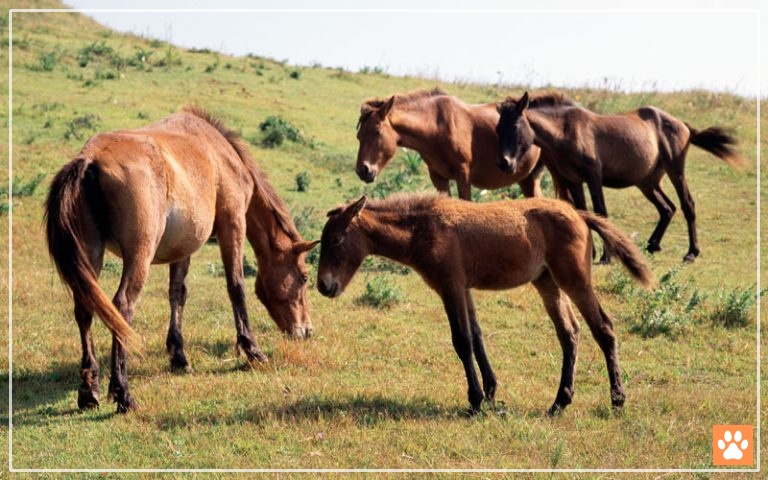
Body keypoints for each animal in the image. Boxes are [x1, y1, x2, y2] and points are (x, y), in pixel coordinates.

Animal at [45, 107, 318, 413]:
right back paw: (123, 393)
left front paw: (178, 355)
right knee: (121, 308)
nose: (306, 330)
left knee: (85, 310)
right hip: (139, 255)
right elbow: (236, 286)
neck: (219, 153)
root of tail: (90, 159)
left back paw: (88, 392)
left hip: (91, 254)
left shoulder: (183, 247)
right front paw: (252, 349)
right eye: (304, 277)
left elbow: (177, 294)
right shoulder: (233, 223)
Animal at [316, 193, 654, 415]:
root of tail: (579, 214)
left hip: (574, 279)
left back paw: (617, 399)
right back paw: (559, 402)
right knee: (569, 333)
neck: (424, 229)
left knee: (603, 328)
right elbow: (478, 337)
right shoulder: (463, 289)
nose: (324, 286)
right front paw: (491, 393)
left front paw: (475, 400)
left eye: (335, 240)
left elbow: (462, 341)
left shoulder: (450, 287)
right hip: (547, 282)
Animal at [355, 88, 553, 200]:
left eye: (377, 132)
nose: (362, 170)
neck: (437, 126)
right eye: (359, 136)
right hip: (528, 179)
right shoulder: (439, 179)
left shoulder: (463, 174)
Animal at [496, 91, 745, 263]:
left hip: (676, 171)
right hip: (647, 182)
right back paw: (653, 245)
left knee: (687, 204)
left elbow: (600, 212)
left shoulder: (593, 176)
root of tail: (683, 125)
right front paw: (590, 252)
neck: (566, 131)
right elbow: (584, 212)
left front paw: (606, 256)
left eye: (515, 125)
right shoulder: (574, 180)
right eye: (498, 128)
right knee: (667, 208)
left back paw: (691, 253)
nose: (504, 163)